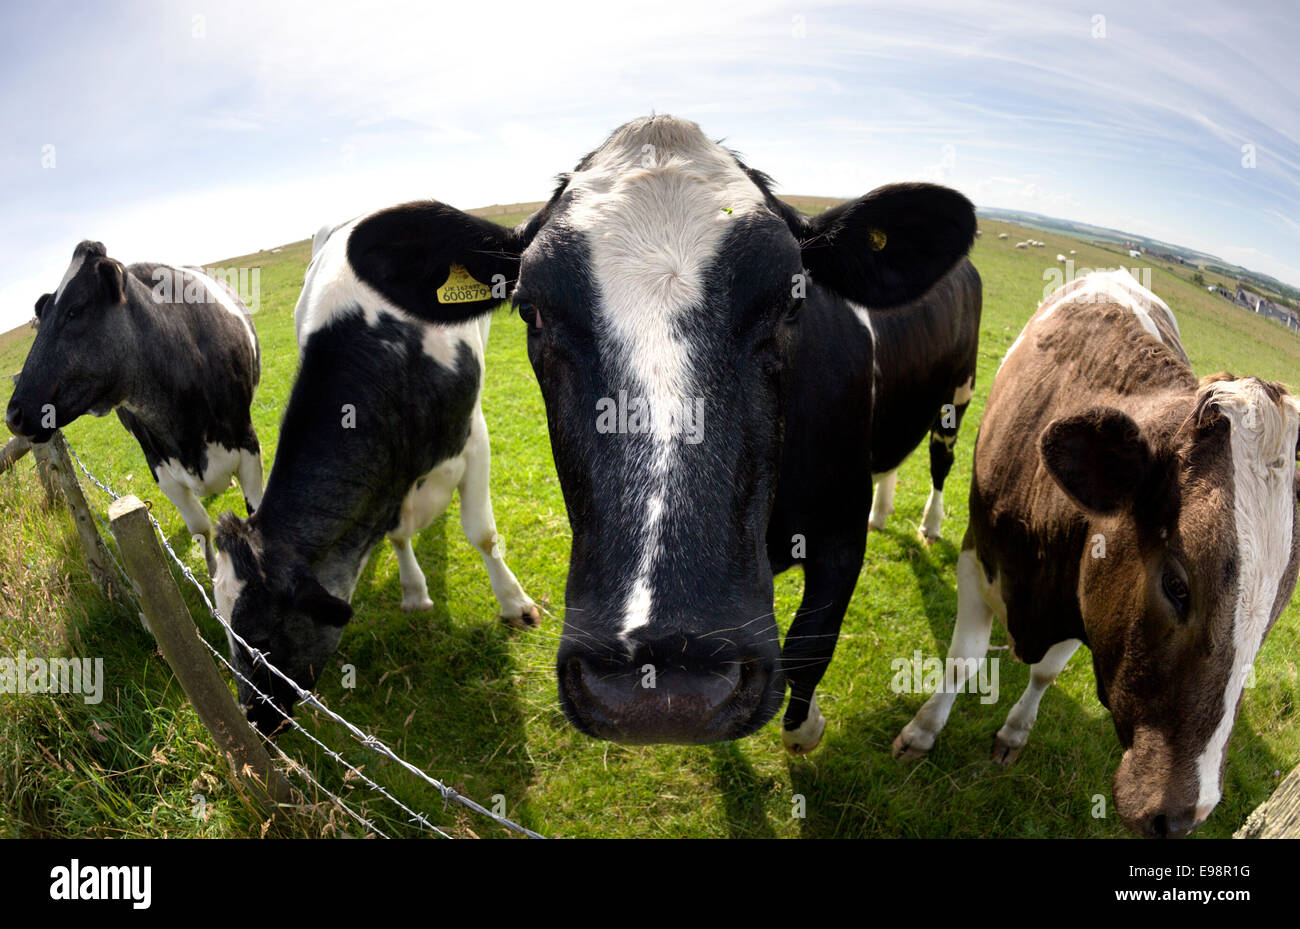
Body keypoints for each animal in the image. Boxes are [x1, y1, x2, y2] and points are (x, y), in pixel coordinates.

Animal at [5, 241, 263, 575]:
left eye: (74, 310)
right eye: (42, 319)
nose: (12, 416)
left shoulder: (248, 444)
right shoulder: (161, 469)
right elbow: (200, 530)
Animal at [213, 219, 539, 734]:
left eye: (261, 639)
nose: (254, 719)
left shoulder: (474, 437)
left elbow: (482, 534)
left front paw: (514, 604)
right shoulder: (387, 485)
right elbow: (397, 534)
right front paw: (414, 593)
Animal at [892, 268, 1300, 837]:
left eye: (1272, 619)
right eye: (1176, 585)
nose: (1185, 815)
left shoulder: (1083, 596)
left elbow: (1044, 674)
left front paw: (1014, 733)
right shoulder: (978, 557)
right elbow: (961, 661)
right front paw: (922, 731)